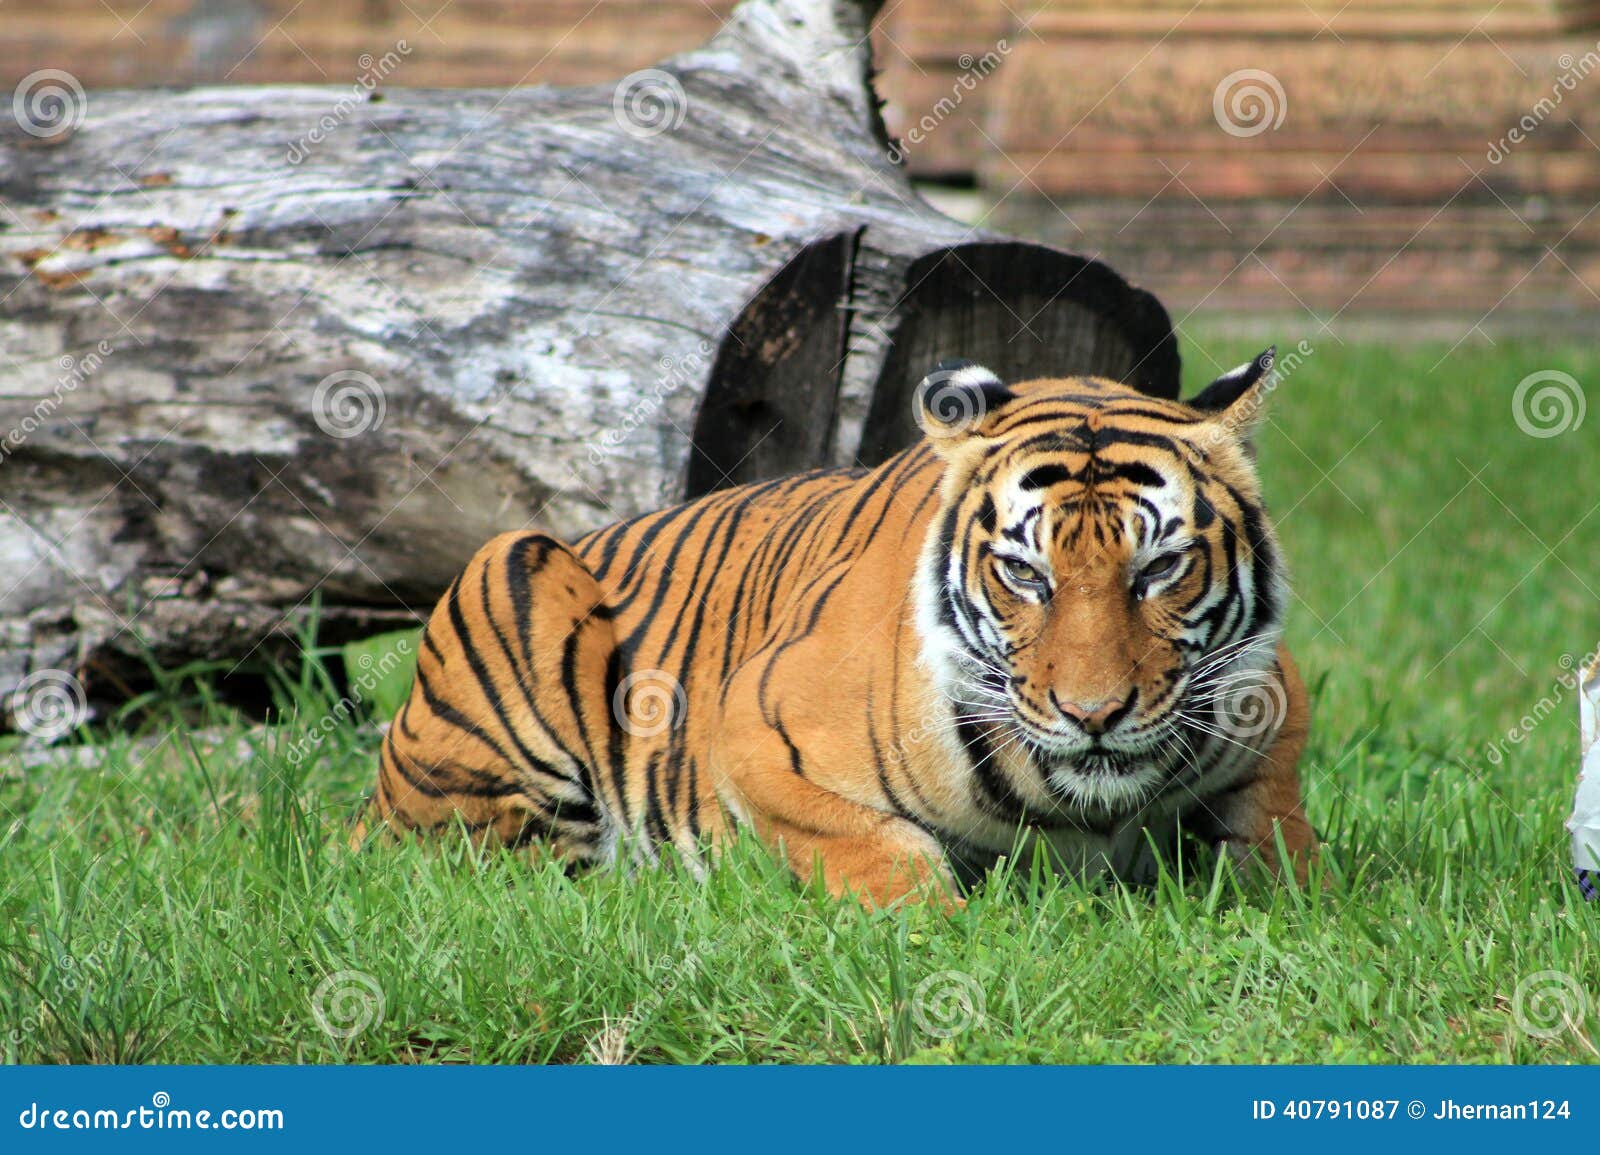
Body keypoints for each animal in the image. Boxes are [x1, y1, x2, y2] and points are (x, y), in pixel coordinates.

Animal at [357, 349, 1315, 907]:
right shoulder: (754, 731)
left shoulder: (1274, 716)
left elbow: (1280, 849)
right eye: (1024, 575)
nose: (1095, 715)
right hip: (514, 565)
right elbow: (891, 854)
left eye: (1158, 569)